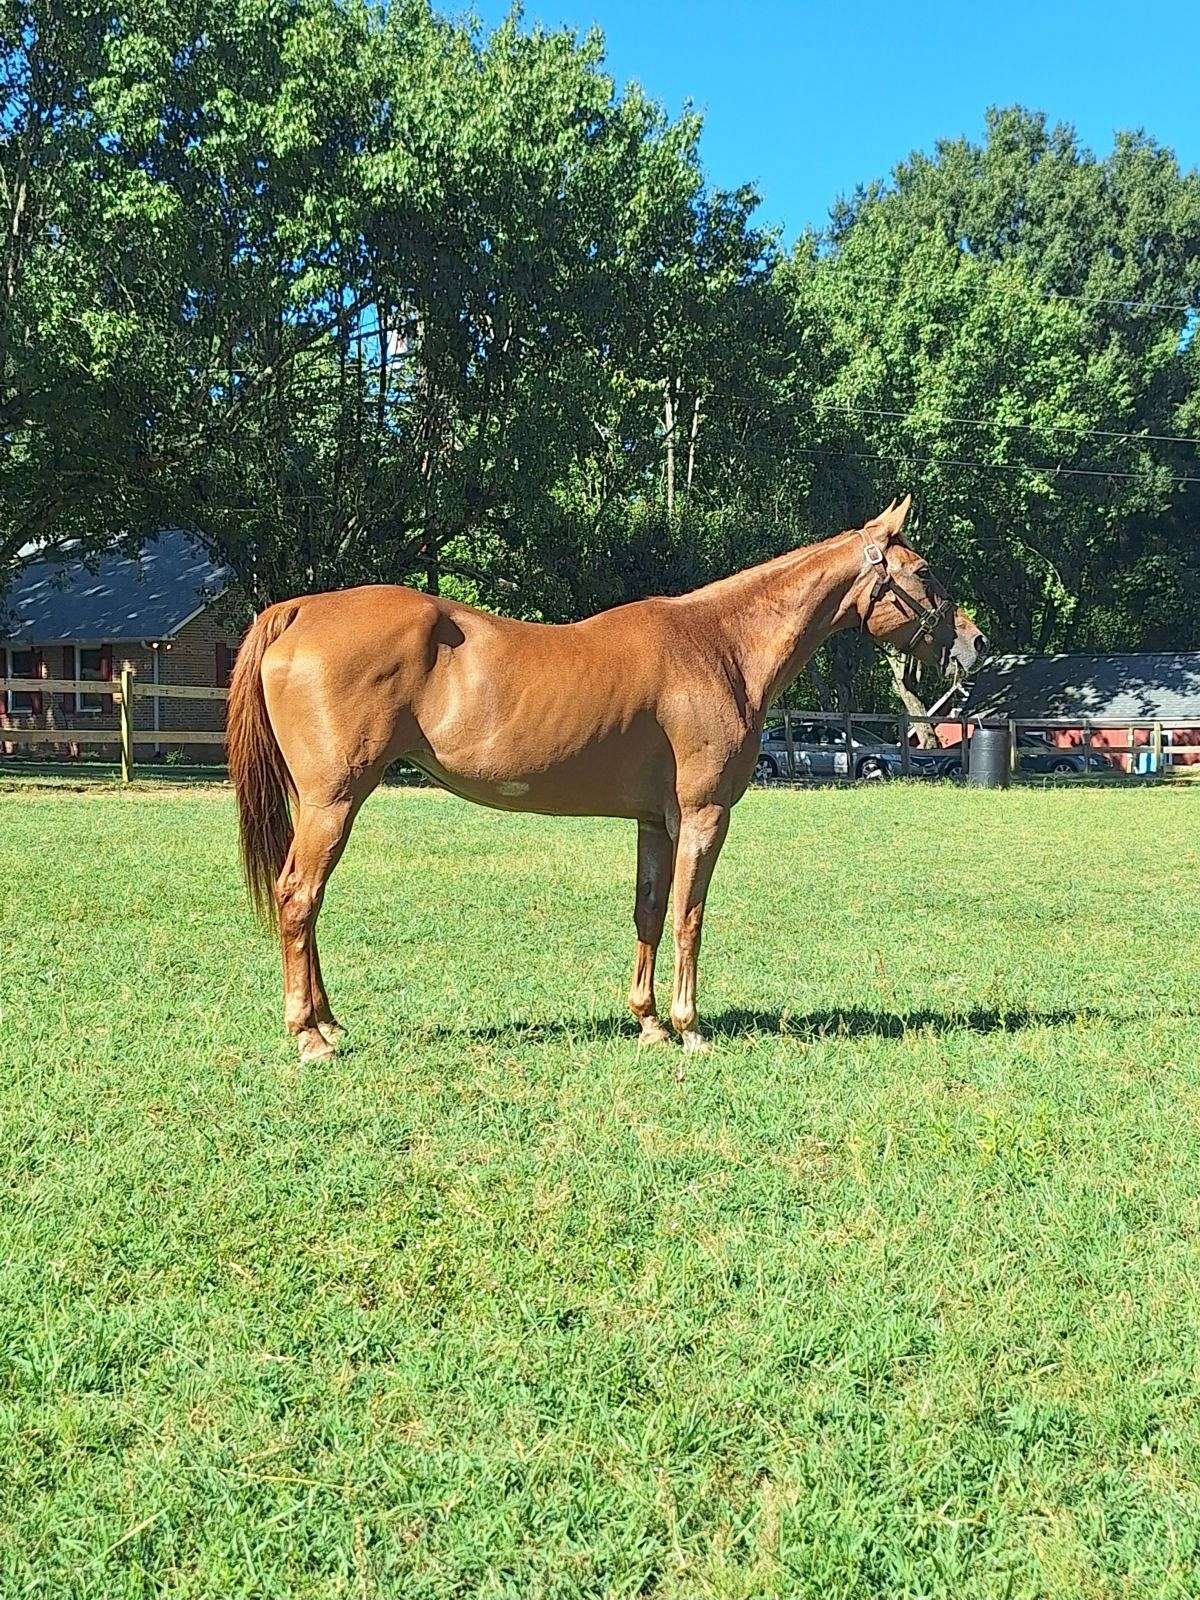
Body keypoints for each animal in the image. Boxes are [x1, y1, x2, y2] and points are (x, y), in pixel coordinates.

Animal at [227, 495, 986, 1061]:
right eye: (925, 572)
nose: (976, 643)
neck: (721, 645)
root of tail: (301, 610)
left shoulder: (656, 821)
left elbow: (648, 911)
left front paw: (648, 1022)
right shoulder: (704, 815)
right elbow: (688, 915)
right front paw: (689, 1026)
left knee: (307, 904)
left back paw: (328, 1021)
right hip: (333, 801)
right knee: (298, 897)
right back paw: (309, 1036)